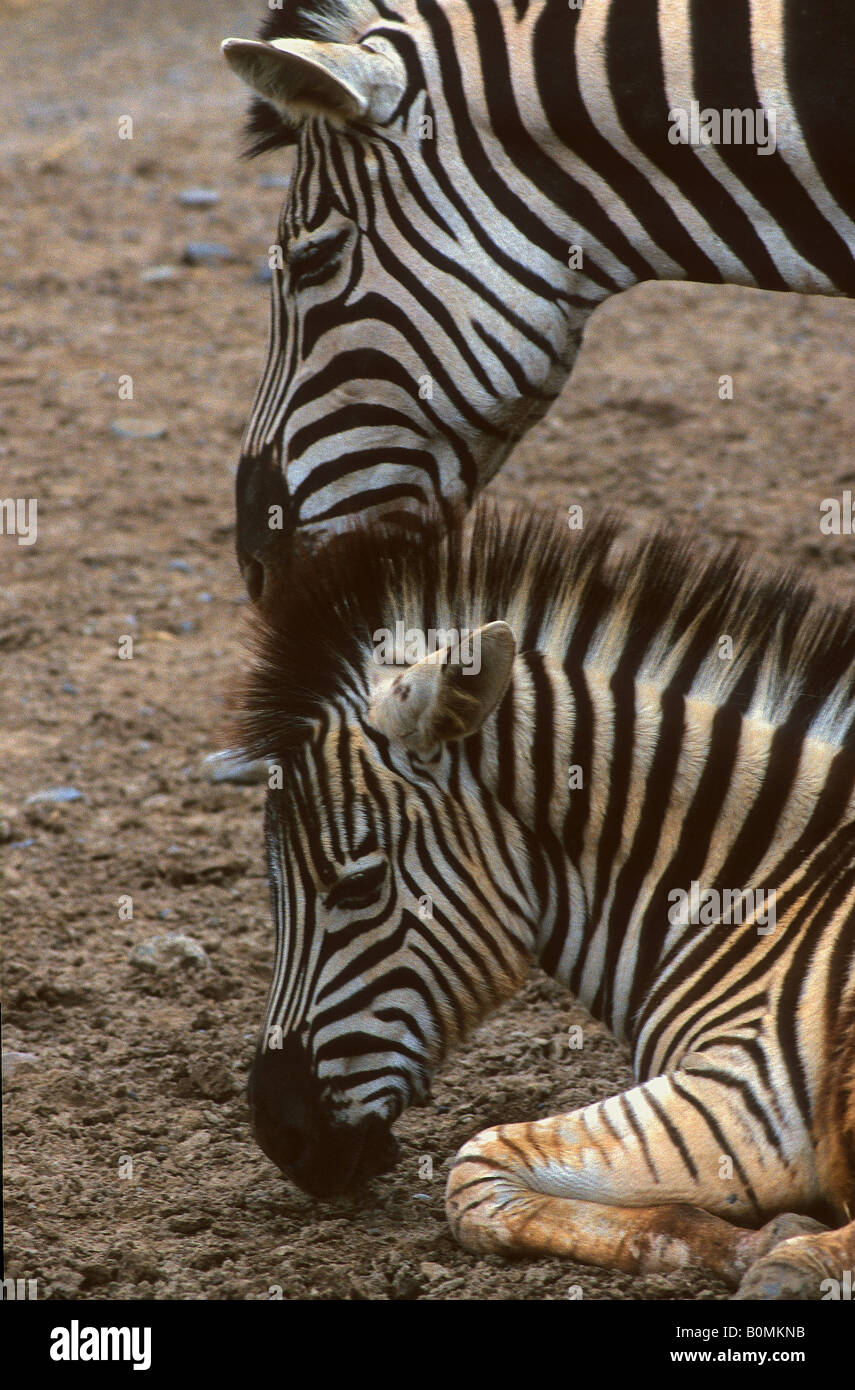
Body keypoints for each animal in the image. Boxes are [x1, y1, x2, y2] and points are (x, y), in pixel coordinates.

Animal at [233, 498, 855, 1299]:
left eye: (359, 883)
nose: (276, 1133)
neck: (770, 878)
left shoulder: (745, 1097)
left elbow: (473, 1169)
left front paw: (773, 1247)